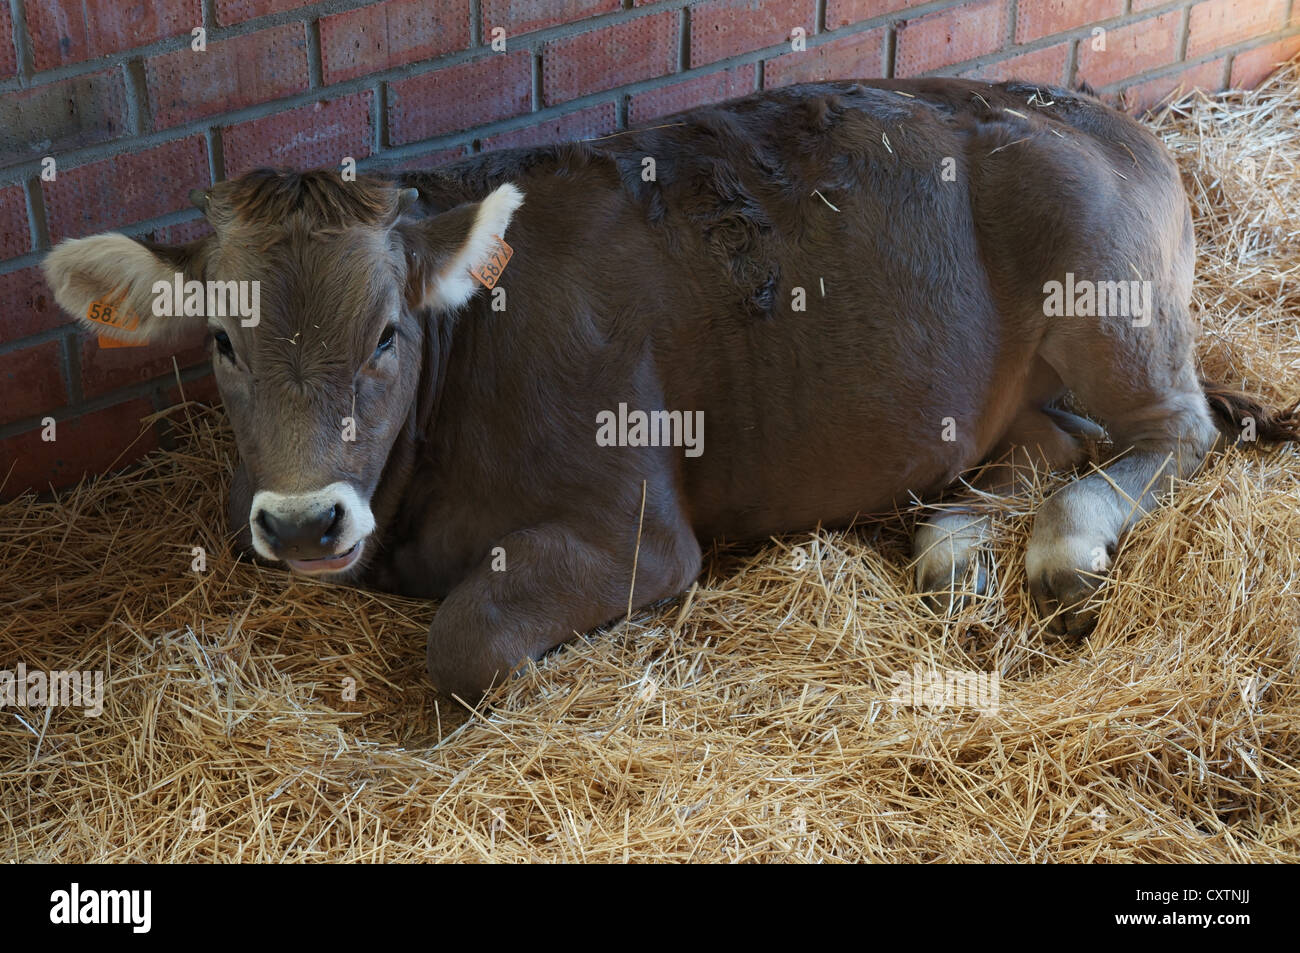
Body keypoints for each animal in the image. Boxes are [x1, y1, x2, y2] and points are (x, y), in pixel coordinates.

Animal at [43, 78, 1298, 704]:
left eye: (389, 331)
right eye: (221, 341)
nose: (305, 521)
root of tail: (1098, 113)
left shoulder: (634, 528)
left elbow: (469, 640)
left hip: (1109, 307)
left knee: (1172, 430)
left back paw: (1062, 549)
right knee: (1040, 437)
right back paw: (952, 552)